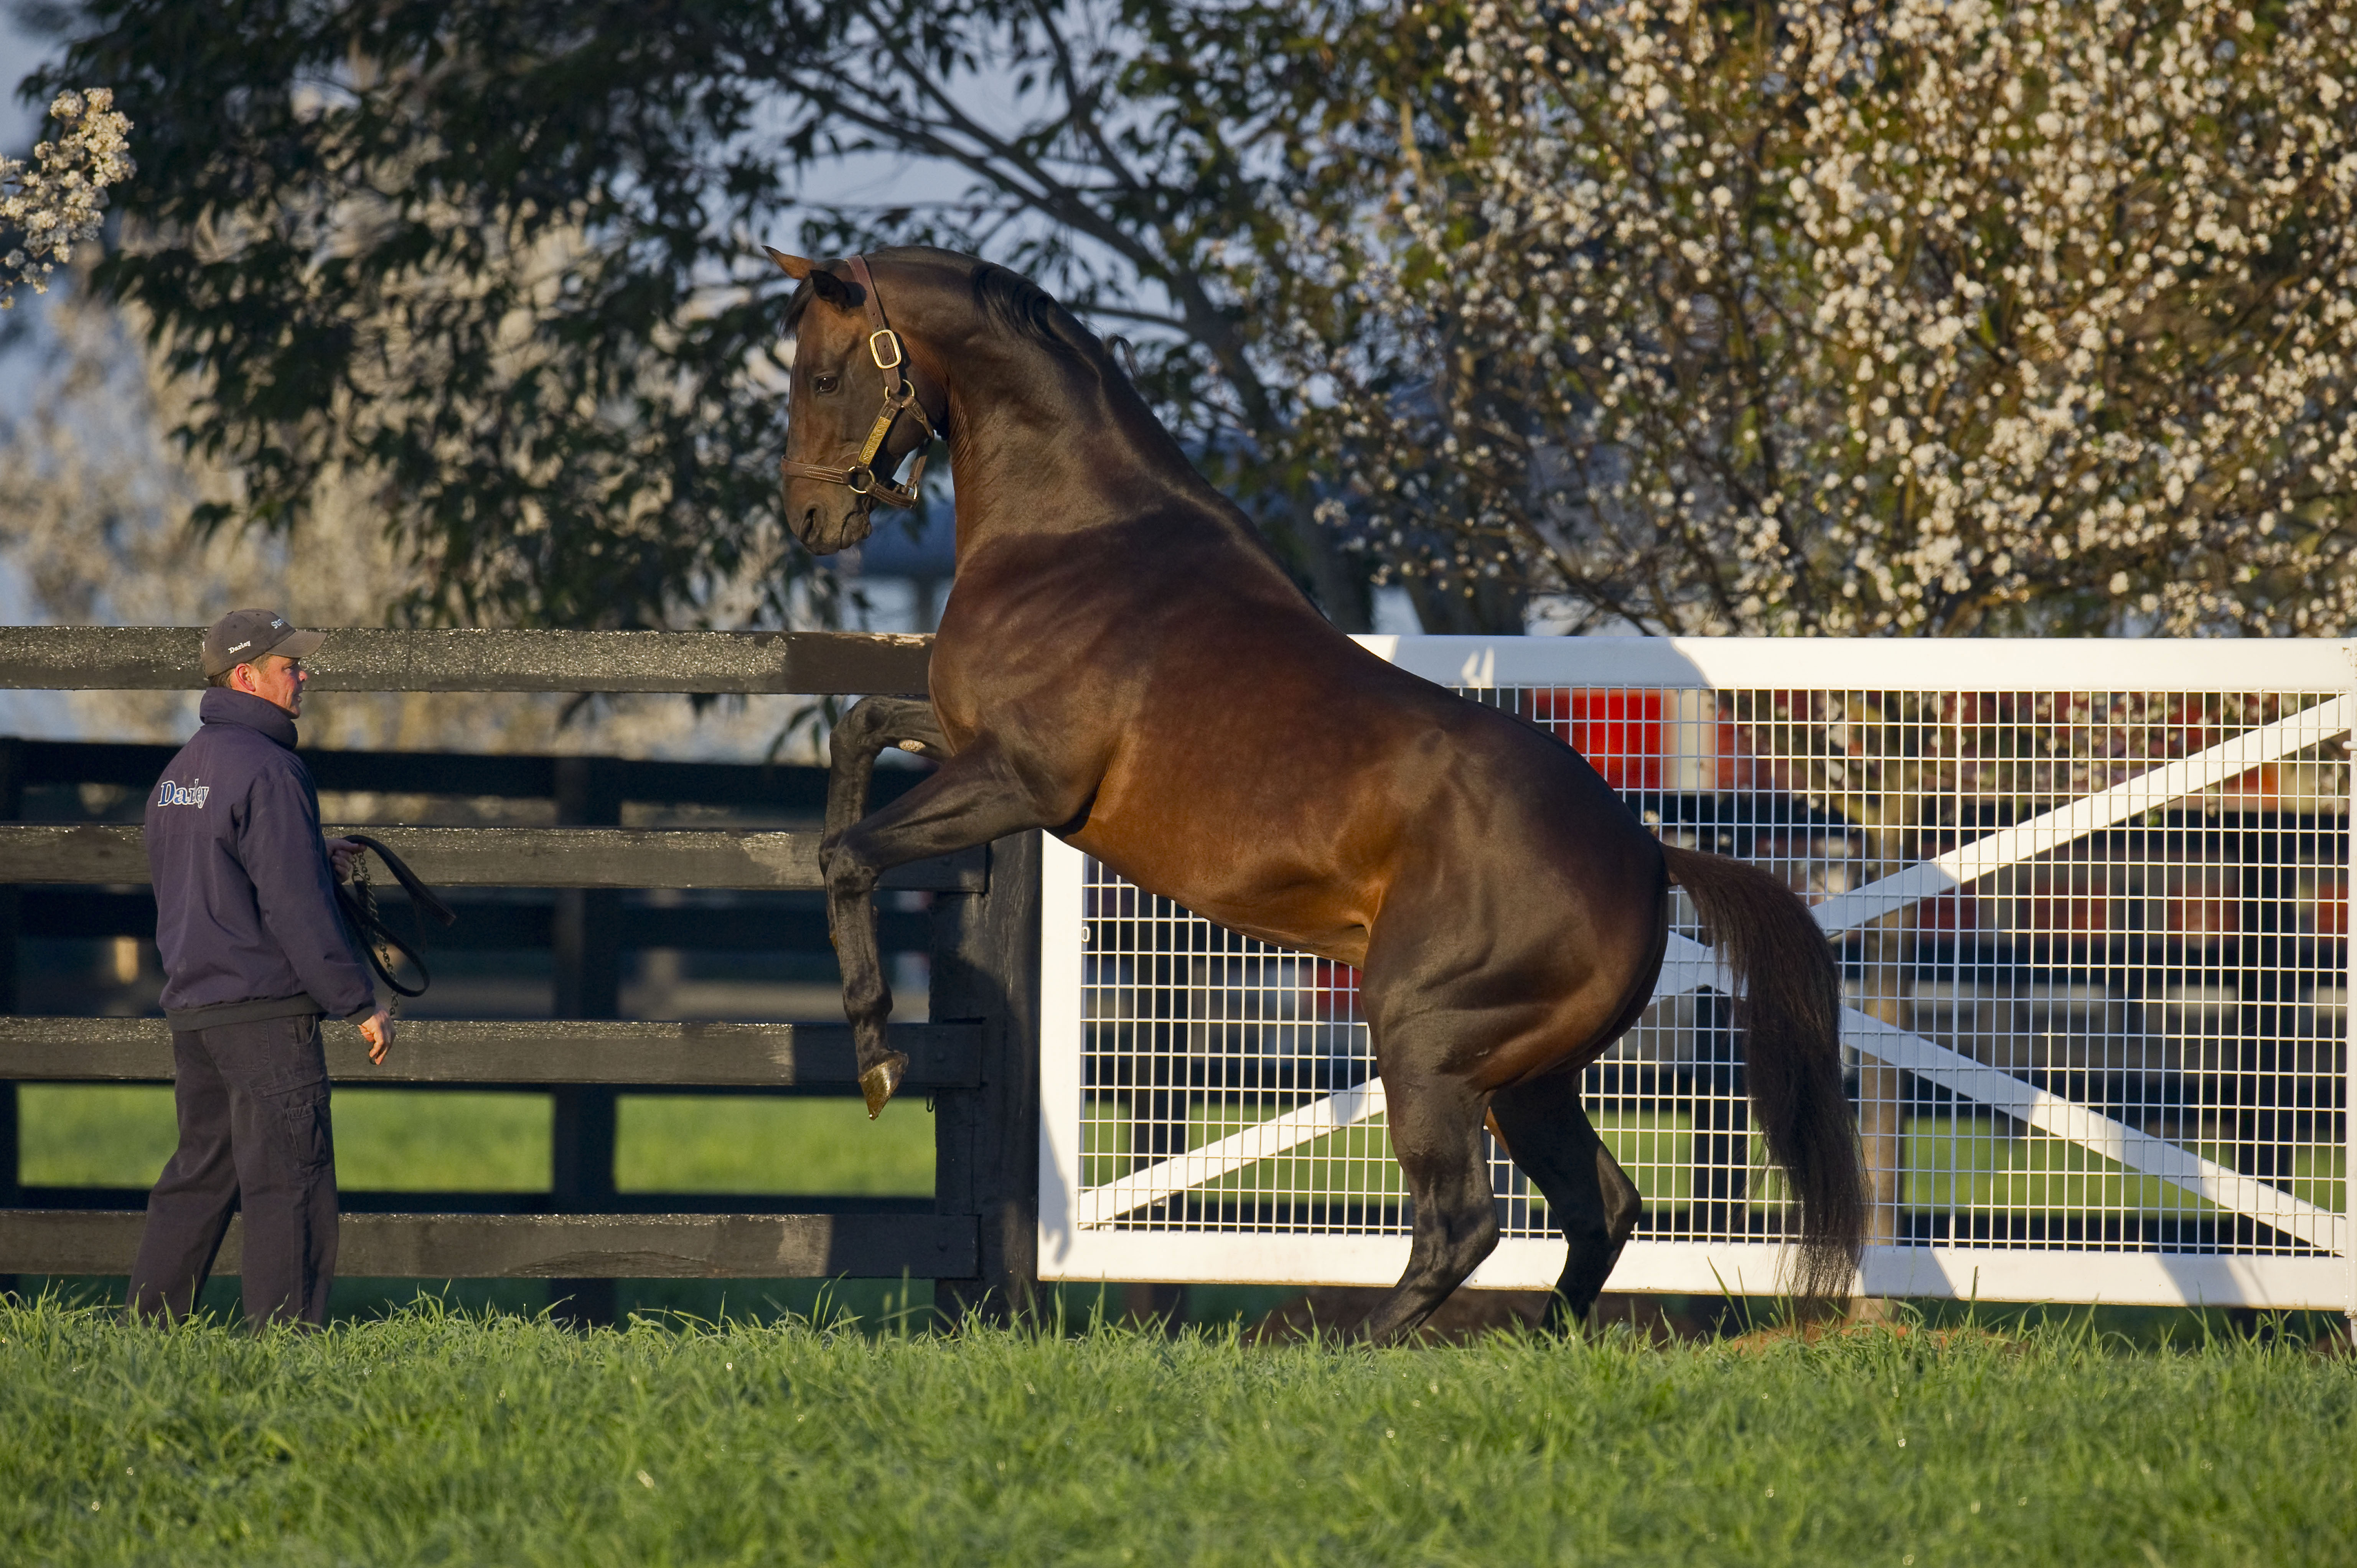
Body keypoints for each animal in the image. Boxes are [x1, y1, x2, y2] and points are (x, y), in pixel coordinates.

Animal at [767, 244, 1865, 1339]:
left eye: (821, 376)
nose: (811, 519)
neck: (1078, 539)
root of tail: (1644, 853)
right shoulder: (966, 745)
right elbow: (855, 734)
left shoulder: (1020, 781)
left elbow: (851, 854)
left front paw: (876, 1058)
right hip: (1529, 1081)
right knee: (1602, 1208)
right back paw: (1537, 1340)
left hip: (1424, 1040)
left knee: (1464, 1223)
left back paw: (1346, 1348)